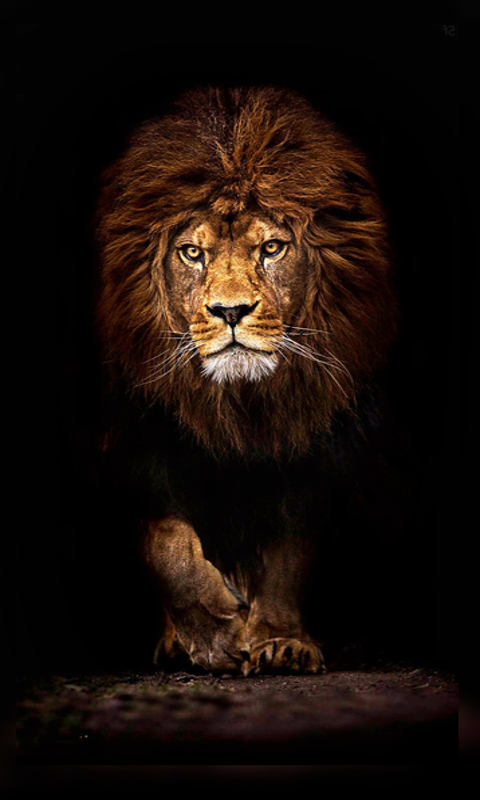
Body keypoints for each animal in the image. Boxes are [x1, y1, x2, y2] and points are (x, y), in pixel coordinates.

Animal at [96, 86, 398, 675]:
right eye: (192, 253)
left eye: (272, 248)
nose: (231, 311)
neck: (241, 405)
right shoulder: (133, 440)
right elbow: (167, 541)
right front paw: (213, 635)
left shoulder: (310, 445)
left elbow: (288, 552)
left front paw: (279, 640)